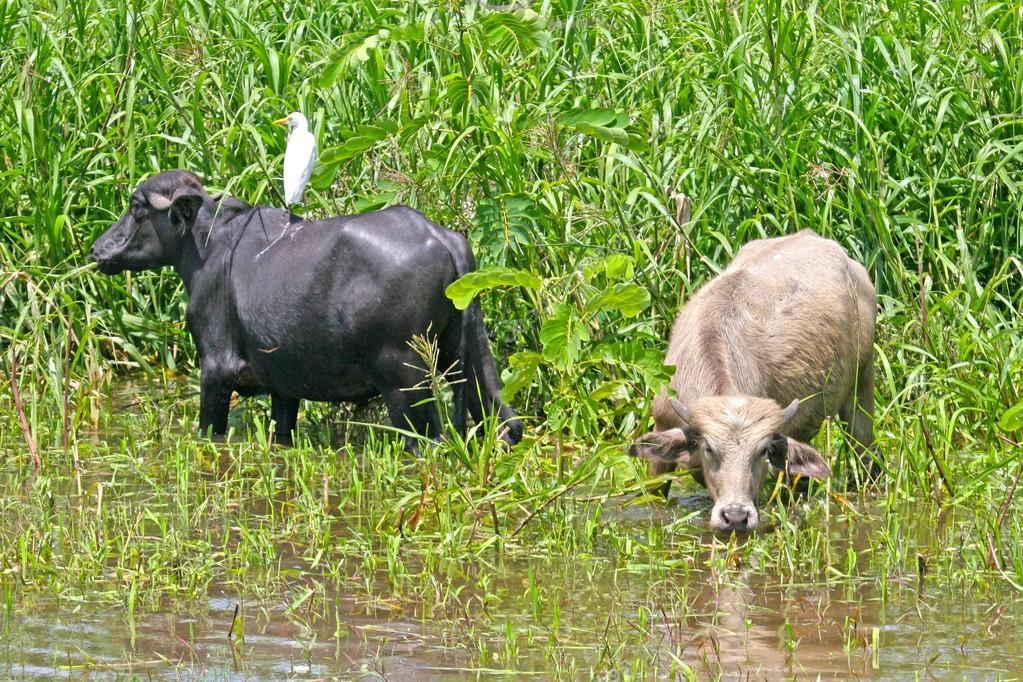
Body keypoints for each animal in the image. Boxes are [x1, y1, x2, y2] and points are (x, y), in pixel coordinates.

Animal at [90, 170, 523, 451]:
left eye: (137, 207)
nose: (97, 249)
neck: (206, 248)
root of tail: (439, 235)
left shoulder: (215, 370)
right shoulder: (283, 386)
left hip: (405, 379)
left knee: (427, 441)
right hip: (472, 357)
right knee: (507, 423)